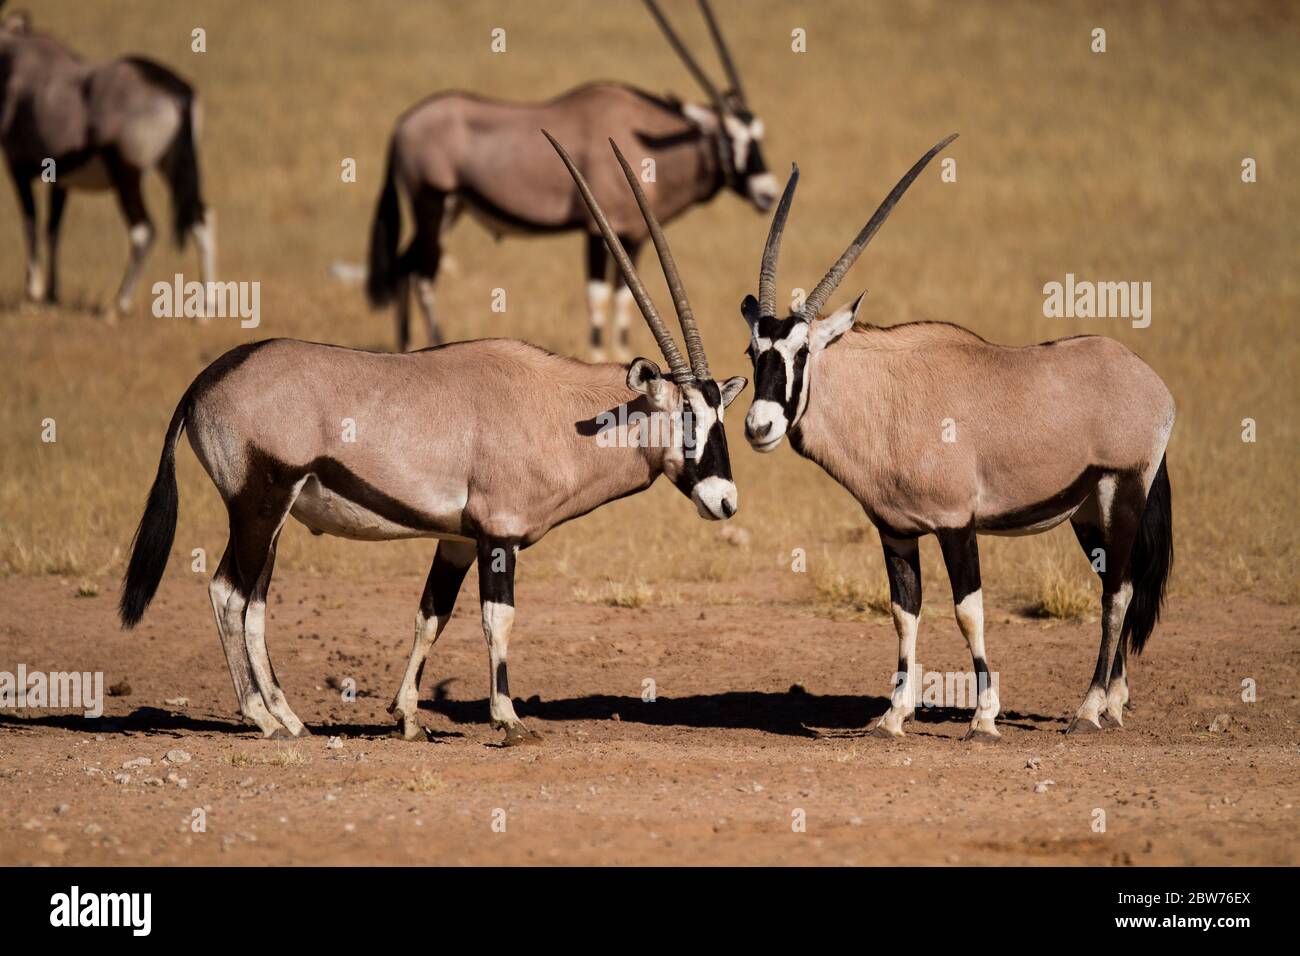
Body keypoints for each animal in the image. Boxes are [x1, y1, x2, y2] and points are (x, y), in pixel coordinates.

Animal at [0, 2, 215, 316]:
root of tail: (178, 92)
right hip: (175, 167)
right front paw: (52, 293)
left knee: (143, 230)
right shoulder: (59, 181)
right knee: (200, 218)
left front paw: (33, 292)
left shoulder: (17, 168)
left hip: (127, 173)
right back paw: (205, 309)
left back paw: (118, 305)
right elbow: (53, 229)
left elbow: (30, 223)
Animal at [117, 132, 746, 746]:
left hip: (269, 518)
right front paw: (507, 718)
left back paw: (287, 717)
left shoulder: (458, 540)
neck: (563, 410)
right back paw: (265, 718)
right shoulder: (499, 535)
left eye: (720, 415)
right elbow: (498, 619)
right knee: (231, 594)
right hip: (258, 504)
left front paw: (408, 717)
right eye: (687, 416)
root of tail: (204, 383)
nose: (724, 501)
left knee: (253, 601)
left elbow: (430, 616)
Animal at [367, 0, 777, 355]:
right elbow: (598, 299)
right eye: (730, 138)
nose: (768, 194)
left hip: (450, 210)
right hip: (432, 202)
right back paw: (436, 341)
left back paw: (406, 348)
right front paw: (597, 360)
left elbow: (624, 299)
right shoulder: (596, 232)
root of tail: (403, 124)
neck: (645, 139)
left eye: (759, 134)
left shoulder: (635, 237)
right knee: (423, 274)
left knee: (404, 267)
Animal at [740, 137, 1175, 740]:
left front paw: (983, 717)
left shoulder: (956, 525)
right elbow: (904, 612)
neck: (885, 396)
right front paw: (893, 714)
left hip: (1122, 493)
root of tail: (1149, 380)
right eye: (753, 352)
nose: (759, 426)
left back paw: (1088, 710)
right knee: (1122, 583)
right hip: (1089, 513)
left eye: (802, 352)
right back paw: (1113, 702)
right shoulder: (896, 531)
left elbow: (969, 612)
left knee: (1119, 593)